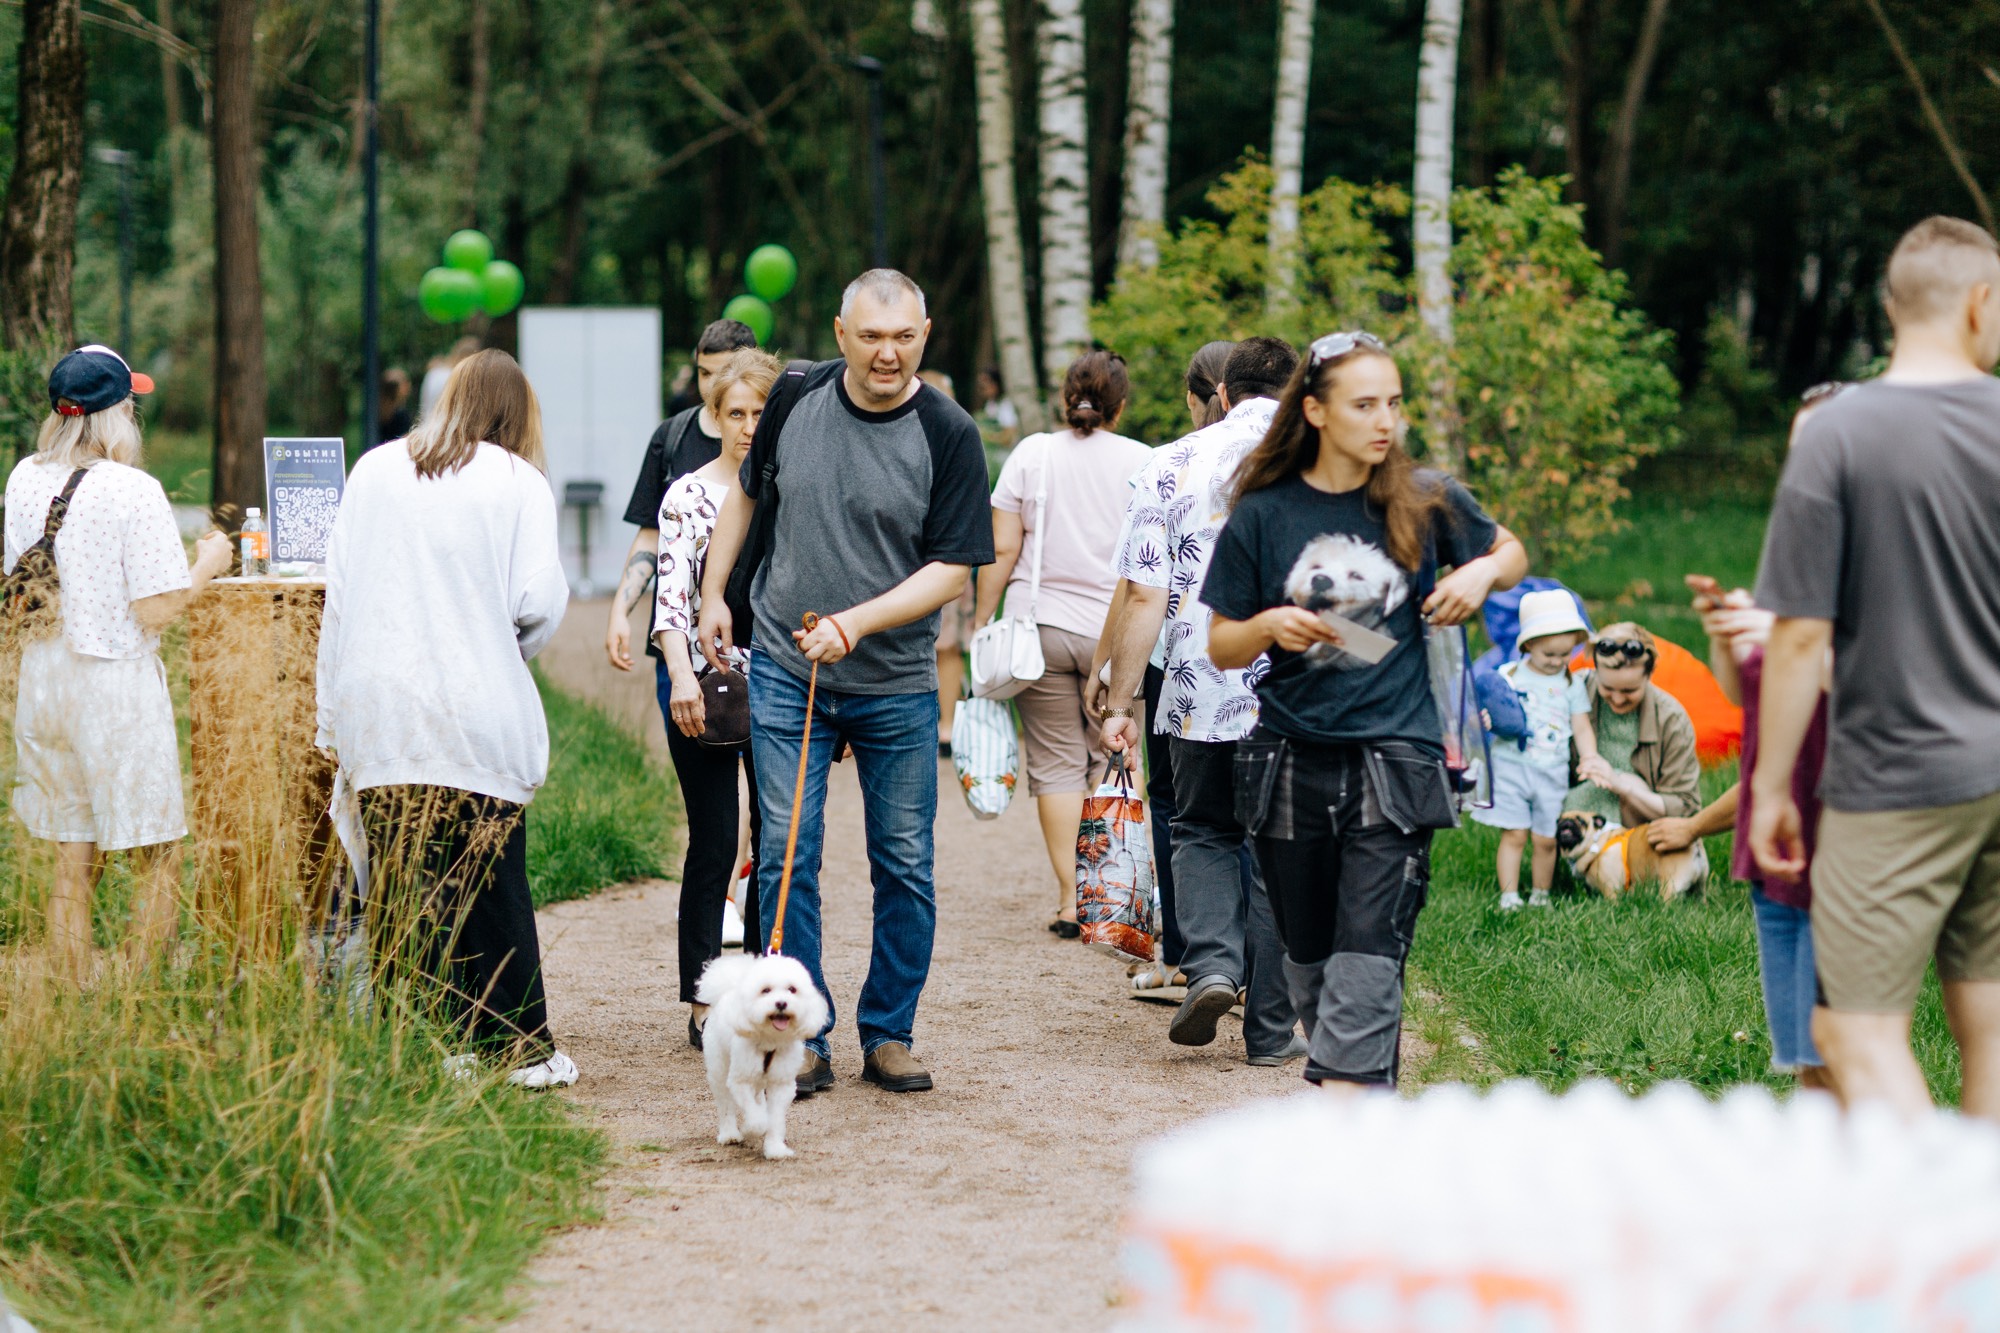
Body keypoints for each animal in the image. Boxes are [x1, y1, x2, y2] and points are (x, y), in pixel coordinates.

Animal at [692, 956, 824, 1152]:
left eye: (792, 989)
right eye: (765, 990)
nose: (781, 1003)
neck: (770, 1040)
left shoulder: (781, 1084)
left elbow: (775, 1119)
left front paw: (775, 1148)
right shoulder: (740, 1081)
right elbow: (755, 1119)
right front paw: (751, 1129)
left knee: (758, 1097)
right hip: (719, 1067)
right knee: (725, 1103)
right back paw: (729, 1134)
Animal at [1552, 804, 1712, 896]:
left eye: (1581, 821)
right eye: (1558, 821)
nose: (1566, 823)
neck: (1596, 842)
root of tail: (1694, 843)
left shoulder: (1610, 888)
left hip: (1670, 885)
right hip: (1700, 887)